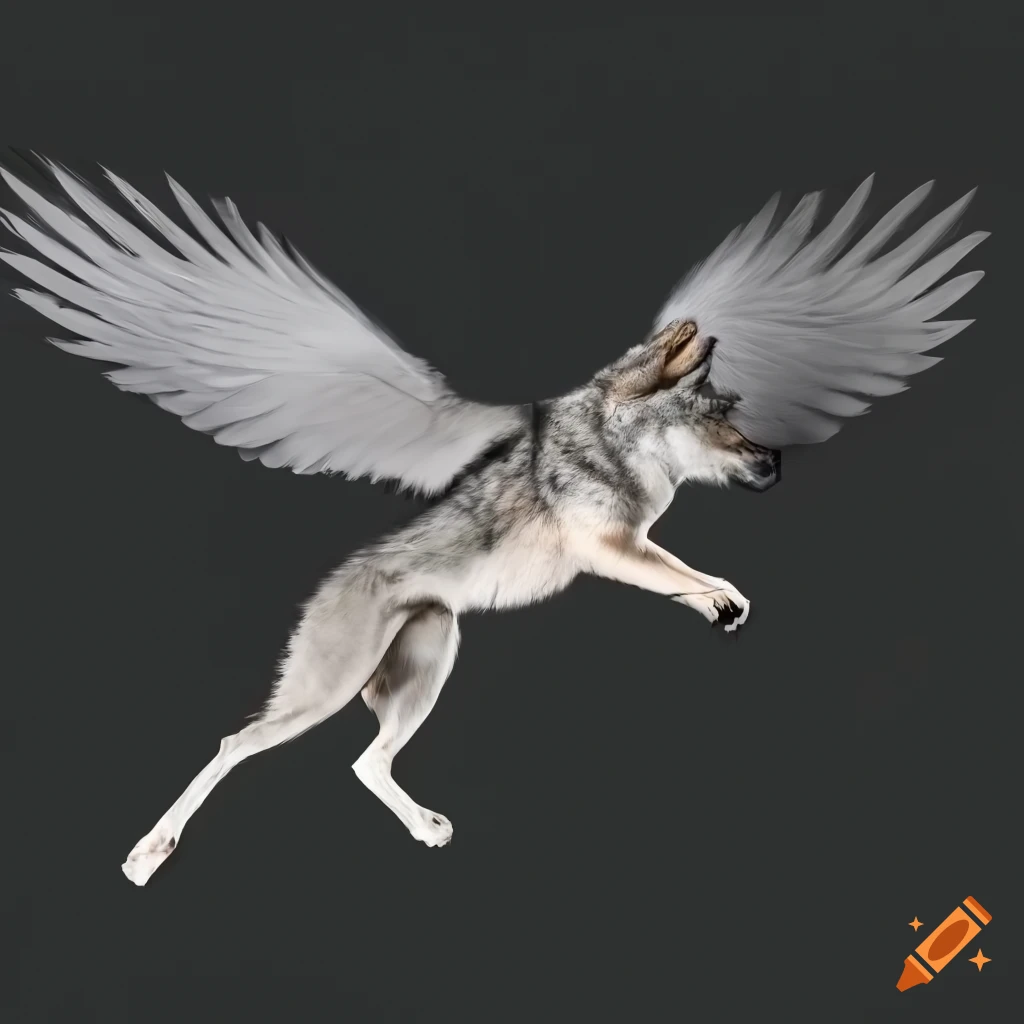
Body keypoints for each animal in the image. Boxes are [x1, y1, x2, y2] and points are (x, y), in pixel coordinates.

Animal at [0, 160, 985, 884]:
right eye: (718, 413)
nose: (776, 463)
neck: (619, 443)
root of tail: (331, 588)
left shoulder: (623, 547)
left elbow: (686, 571)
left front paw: (722, 600)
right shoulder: (614, 547)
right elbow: (687, 571)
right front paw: (719, 597)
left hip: (431, 656)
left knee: (364, 764)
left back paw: (422, 829)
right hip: (330, 688)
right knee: (236, 741)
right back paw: (148, 852)